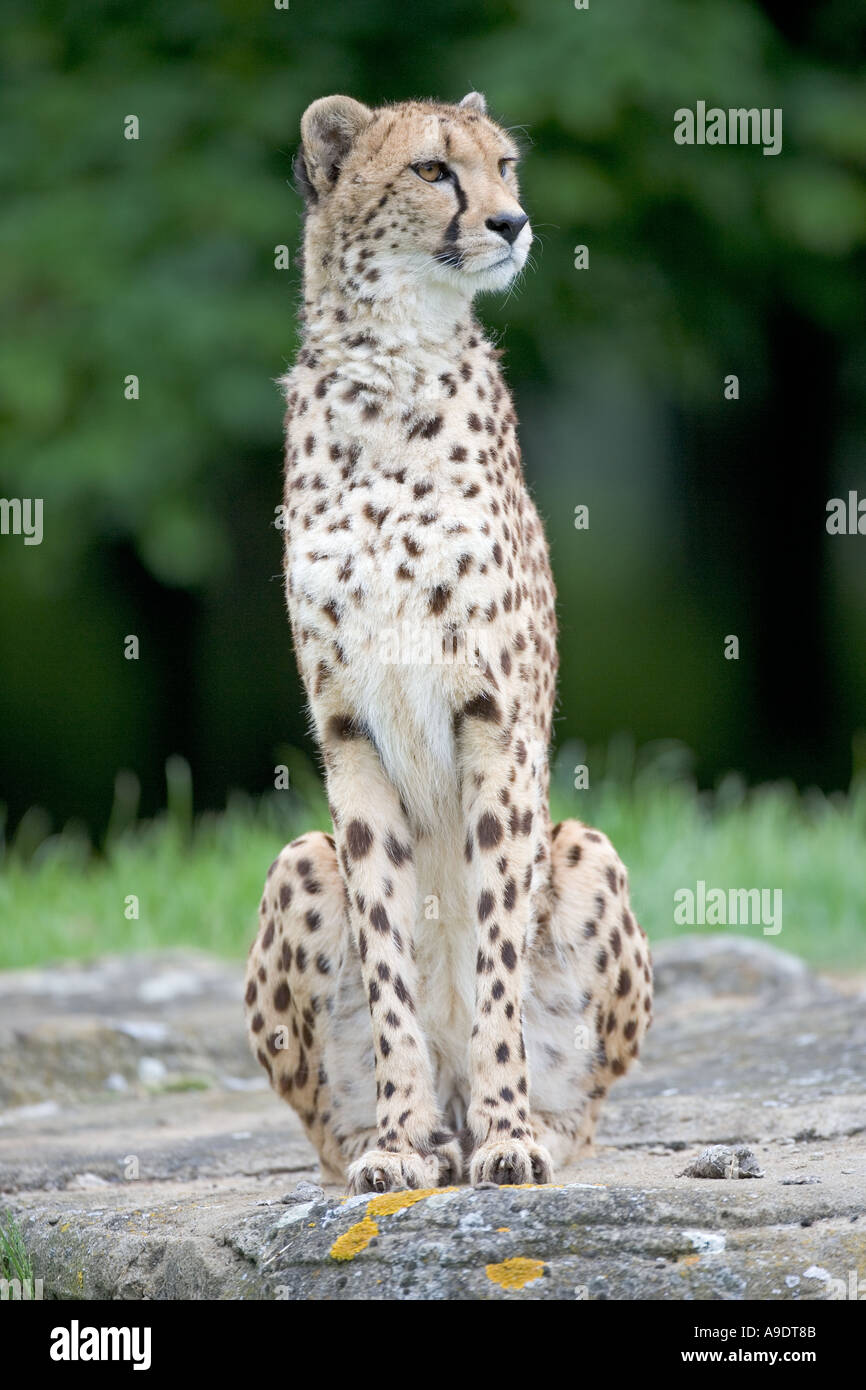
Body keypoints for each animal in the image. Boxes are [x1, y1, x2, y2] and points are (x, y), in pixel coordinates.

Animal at [244, 91, 652, 1195]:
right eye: (432, 171)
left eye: (504, 166)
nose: (511, 223)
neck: (392, 360)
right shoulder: (347, 733)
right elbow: (391, 950)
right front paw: (395, 1139)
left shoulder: (491, 721)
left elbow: (493, 951)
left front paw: (509, 1133)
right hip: (297, 860)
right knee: (325, 1119)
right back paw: (412, 1138)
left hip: (588, 849)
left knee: (585, 1105)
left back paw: (512, 1125)